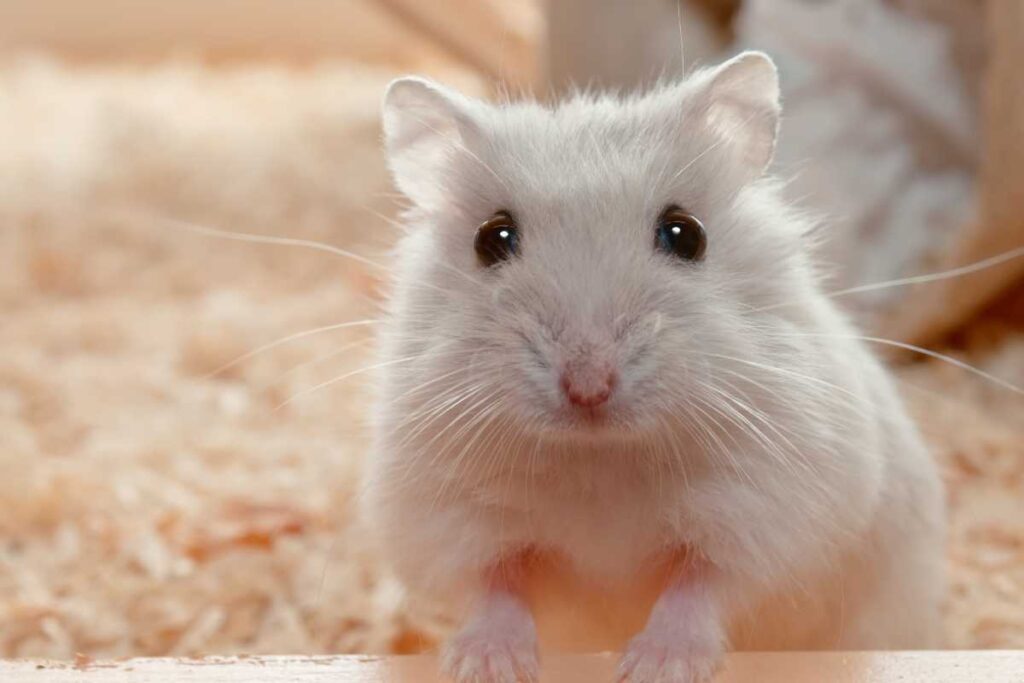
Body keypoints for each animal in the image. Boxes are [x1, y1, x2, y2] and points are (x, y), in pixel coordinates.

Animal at [361, 51, 945, 683]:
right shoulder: (448, 518)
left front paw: (655, 666)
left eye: (685, 234)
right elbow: (494, 585)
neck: (601, 459)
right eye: (491, 239)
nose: (588, 386)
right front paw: (487, 664)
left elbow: (700, 586)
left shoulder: (769, 513)